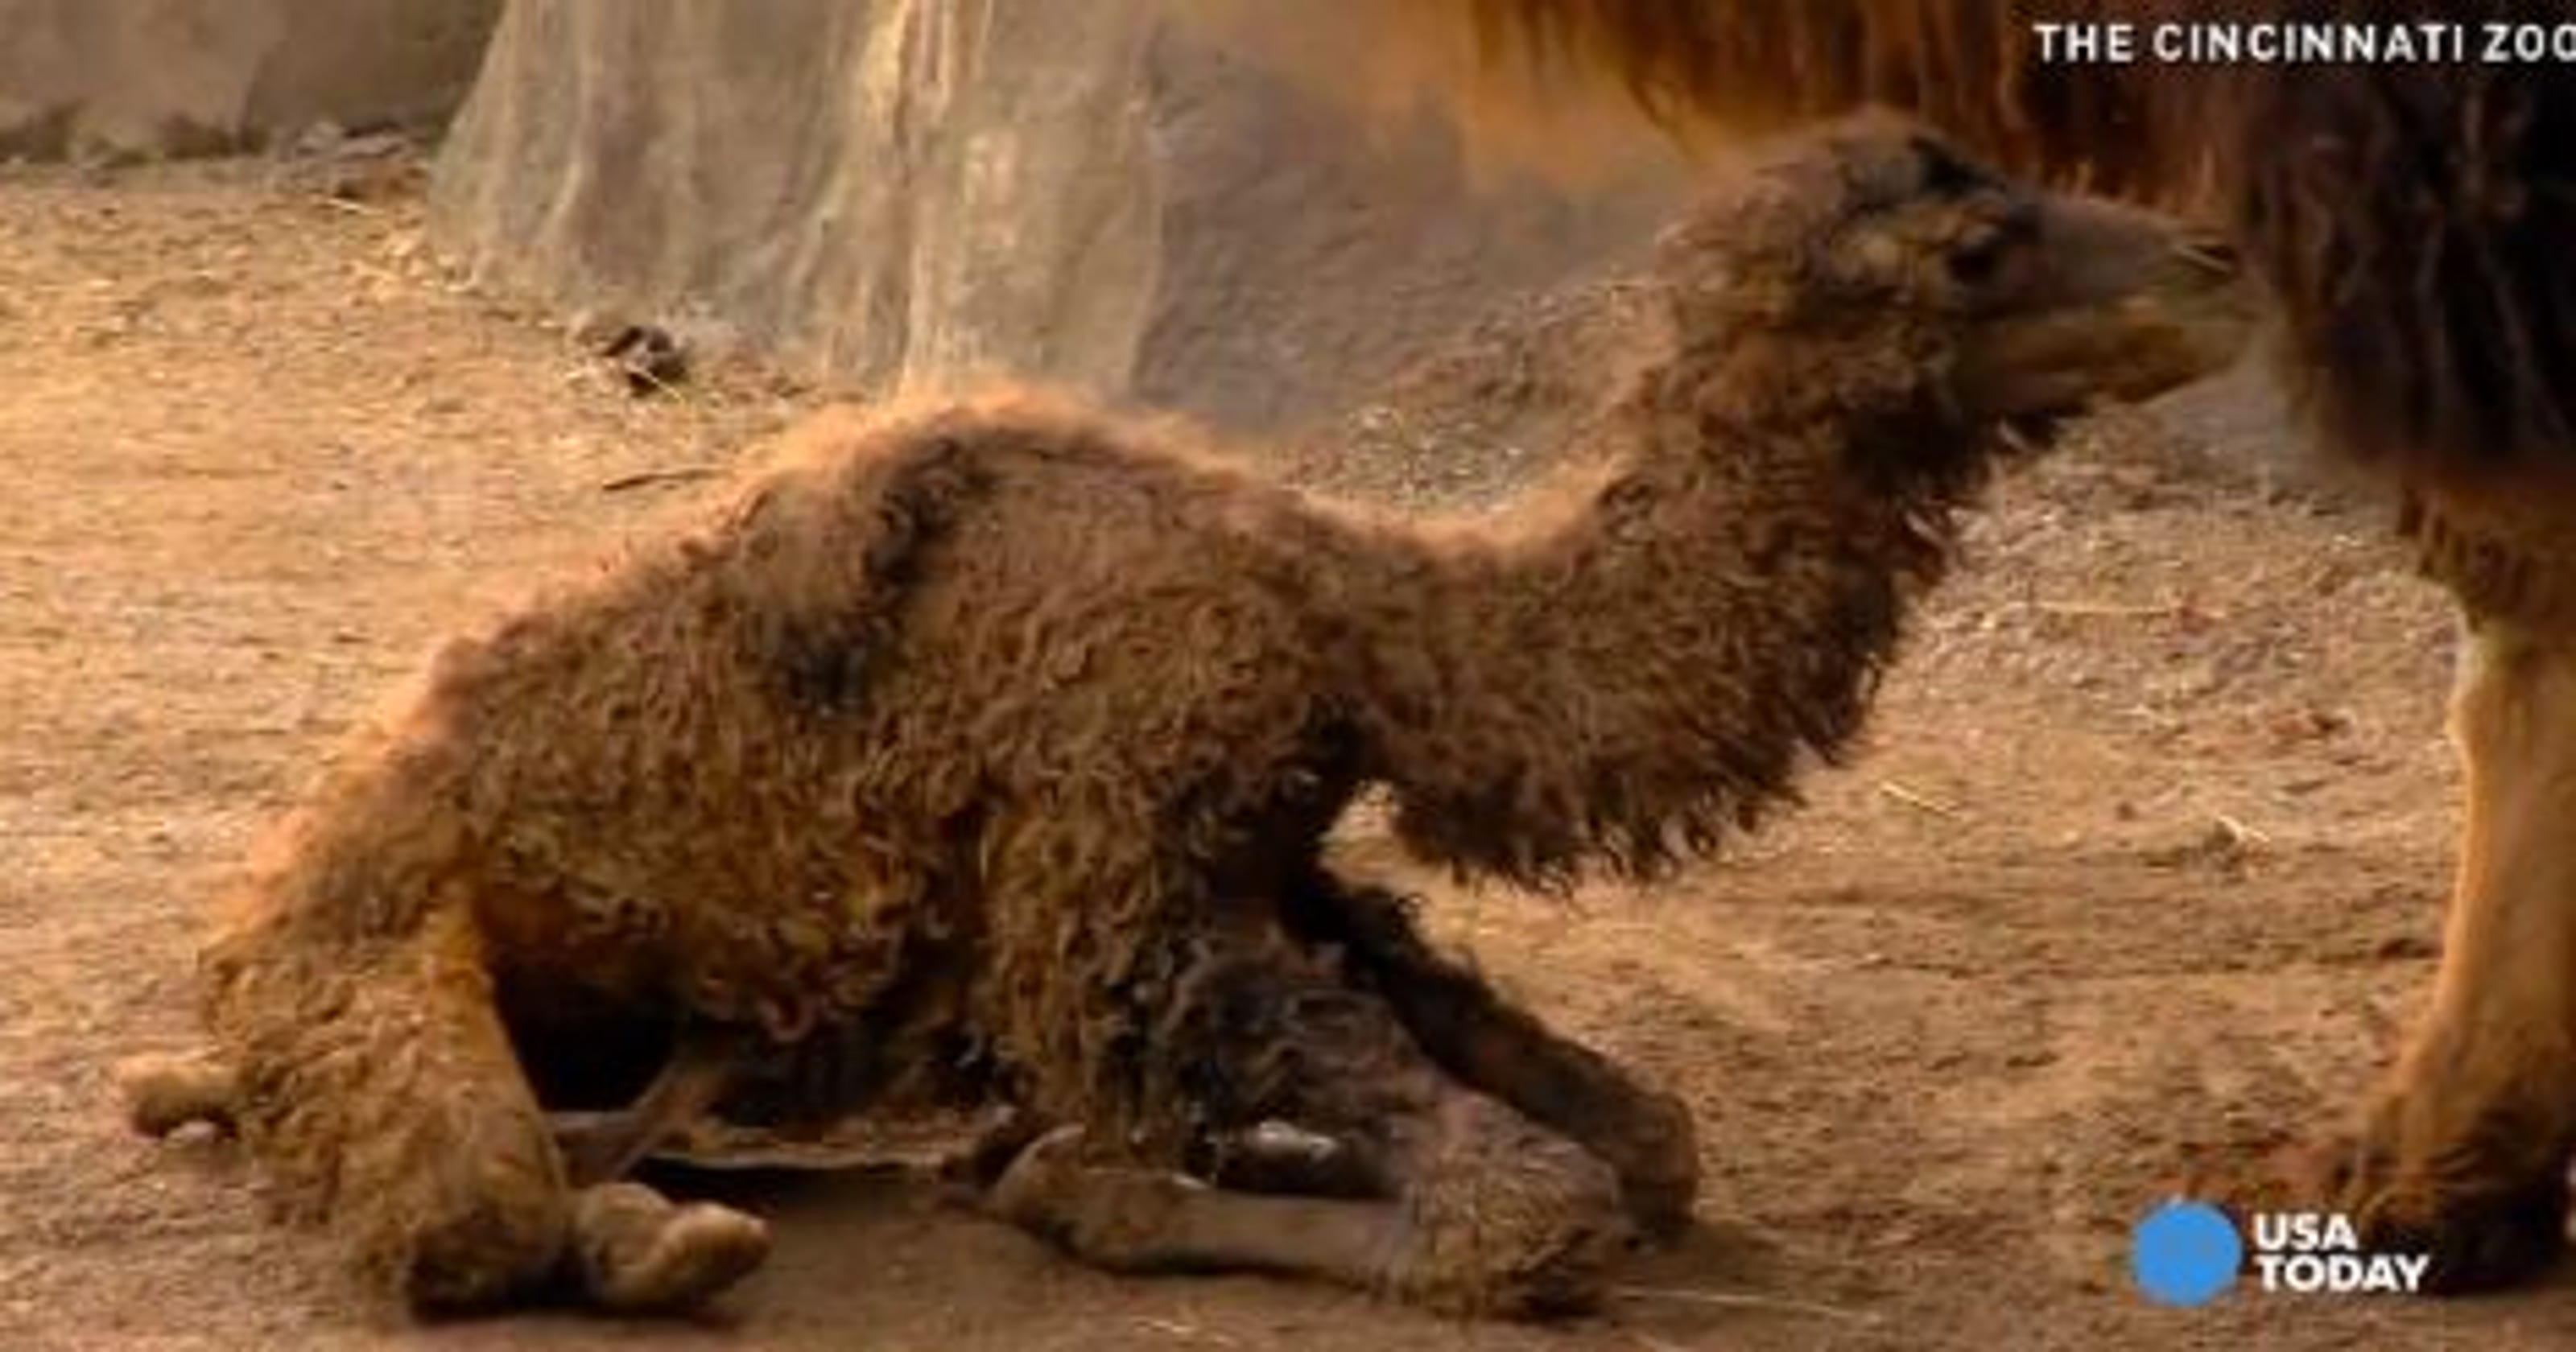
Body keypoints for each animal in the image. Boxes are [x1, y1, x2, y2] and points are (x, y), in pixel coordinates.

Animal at [117, 116, 2248, 1319]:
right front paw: (1088, 1180)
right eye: (1973, 243)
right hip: (357, 963)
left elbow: (1643, 1140)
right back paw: (663, 1237)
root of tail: (253, 911)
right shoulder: (1124, 880)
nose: (2221, 258)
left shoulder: (1265, 861)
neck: (1365, 612)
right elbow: (1534, 1208)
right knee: (470, 1203)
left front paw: (1079, 1155)